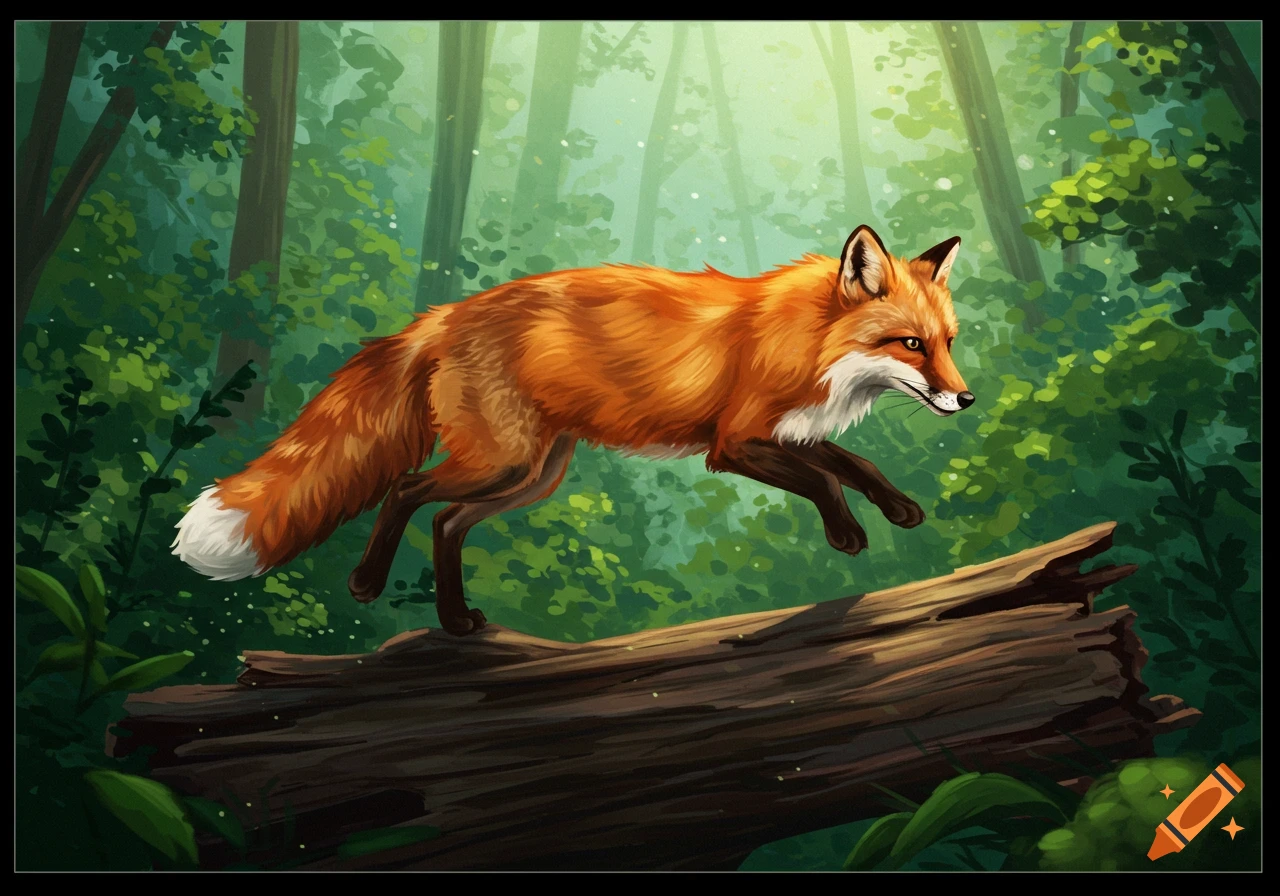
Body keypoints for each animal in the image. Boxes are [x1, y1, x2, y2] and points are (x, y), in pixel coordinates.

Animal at [172, 224, 974, 636]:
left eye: (949, 342)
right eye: (910, 345)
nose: (966, 398)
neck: (804, 339)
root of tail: (446, 314)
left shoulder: (788, 430)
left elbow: (853, 463)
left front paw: (899, 508)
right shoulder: (734, 444)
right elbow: (824, 478)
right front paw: (848, 534)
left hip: (534, 475)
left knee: (447, 522)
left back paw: (456, 619)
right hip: (503, 462)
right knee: (405, 490)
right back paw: (368, 584)